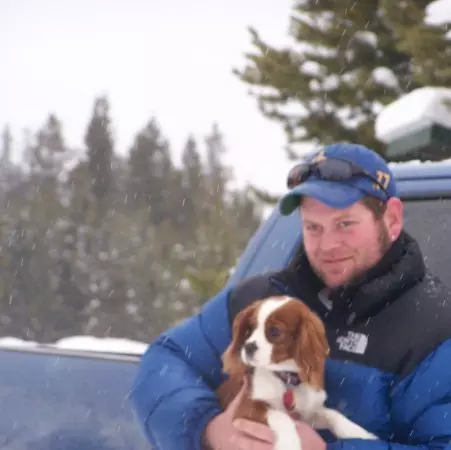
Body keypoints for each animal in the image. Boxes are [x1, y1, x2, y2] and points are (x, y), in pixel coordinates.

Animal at [215, 296, 378, 450]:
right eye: (250, 328)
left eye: (275, 331)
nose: (248, 347)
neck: (285, 376)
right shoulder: (245, 409)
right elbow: (281, 416)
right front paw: (290, 445)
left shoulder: (307, 414)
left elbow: (332, 414)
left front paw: (361, 434)